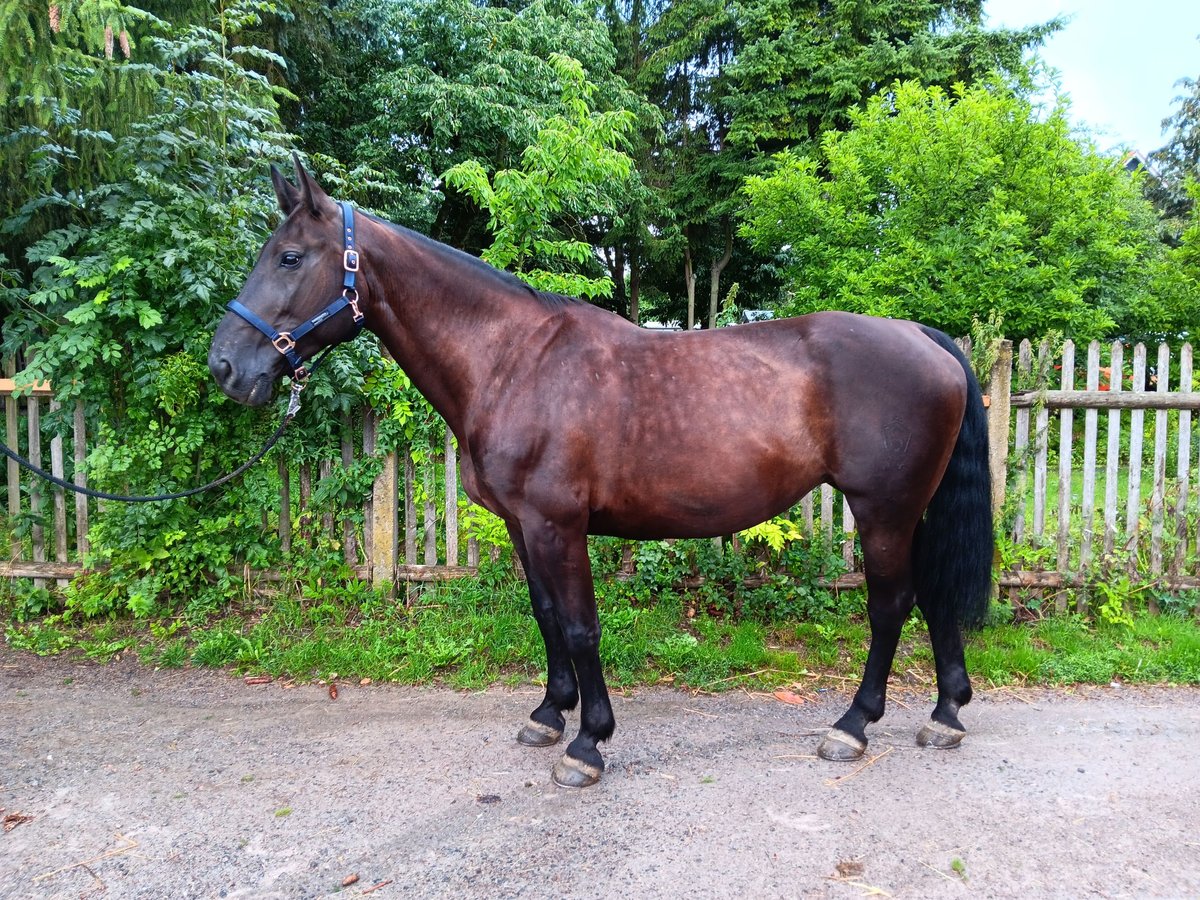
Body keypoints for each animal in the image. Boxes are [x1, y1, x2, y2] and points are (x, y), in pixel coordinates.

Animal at [209, 159, 994, 788]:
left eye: (289, 257)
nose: (225, 367)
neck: (512, 361)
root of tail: (921, 336)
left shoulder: (558, 524)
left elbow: (582, 626)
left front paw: (588, 743)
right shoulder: (523, 526)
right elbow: (546, 615)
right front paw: (548, 714)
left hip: (883, 508)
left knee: (892, 605)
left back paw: (853, 726)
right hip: (910, 509)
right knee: (933, 596)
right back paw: (946, 714)